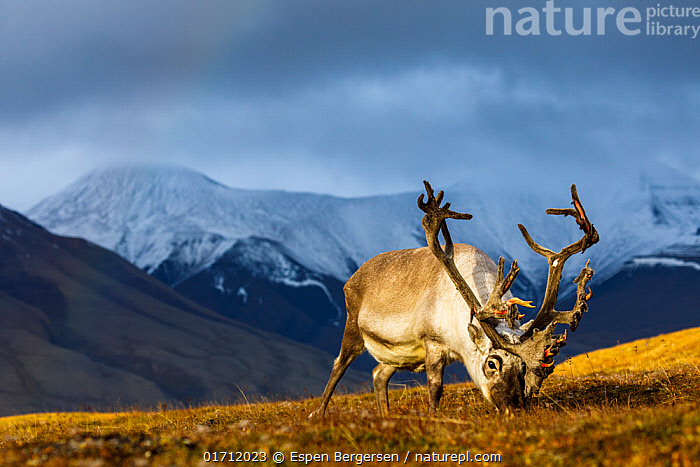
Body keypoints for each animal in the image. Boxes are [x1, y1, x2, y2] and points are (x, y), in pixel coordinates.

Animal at [308, 181, 599, 420]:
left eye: (523, 367)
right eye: (492, 363)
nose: (513, 409)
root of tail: (354, 276)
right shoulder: (431, 342)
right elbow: (436, 388)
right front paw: (433, 418)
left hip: (396, 354)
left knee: (378, 375)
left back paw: (385, 416)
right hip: (353, 327)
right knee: (338, 366)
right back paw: (317, 415)